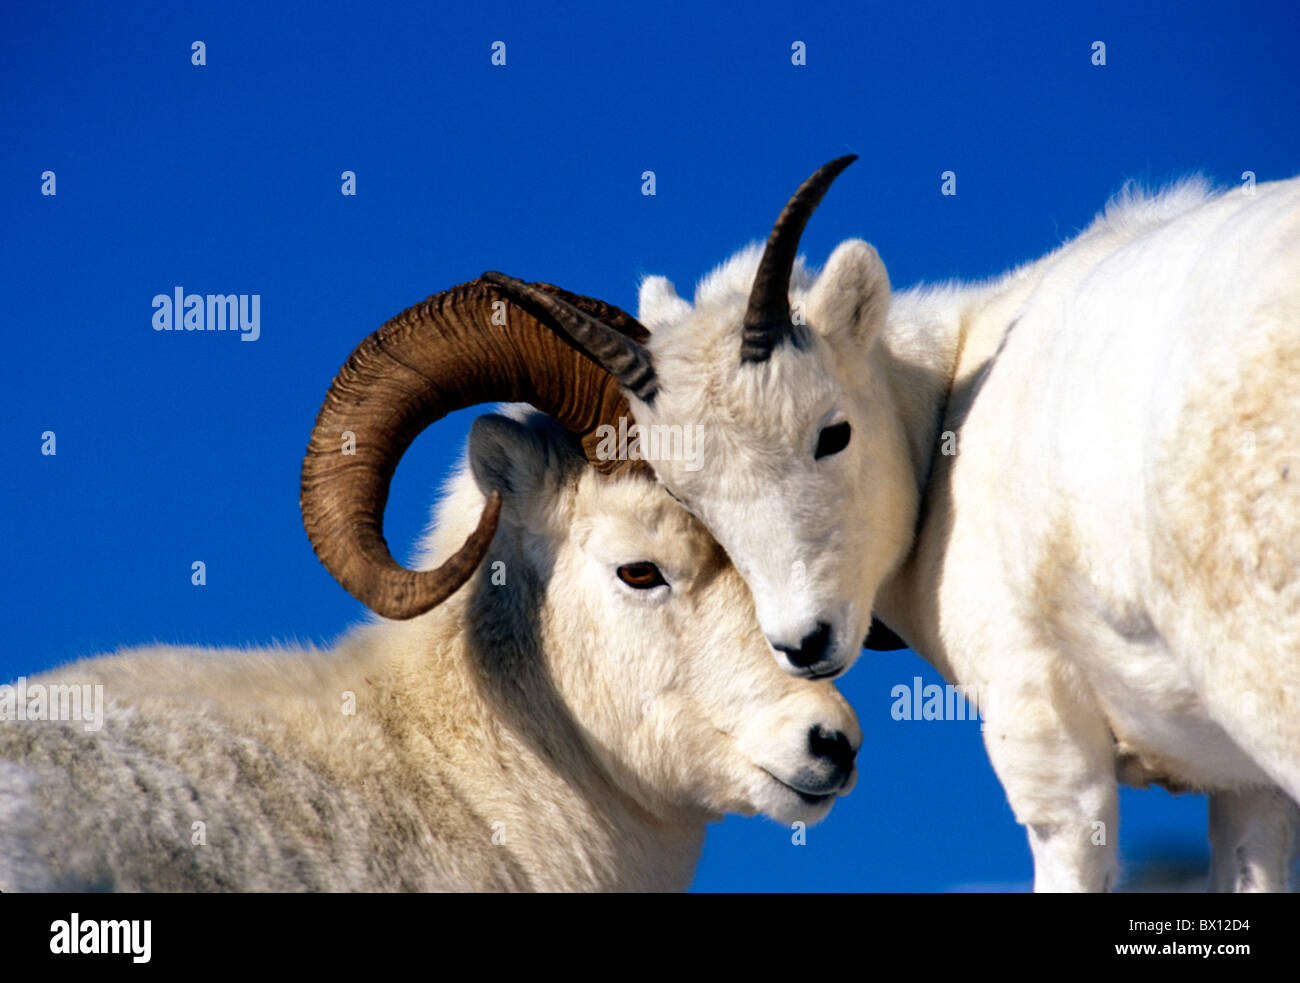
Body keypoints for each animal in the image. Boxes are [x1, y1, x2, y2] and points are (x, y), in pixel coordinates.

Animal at [484, 160, 1300, 891]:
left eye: (833, 432)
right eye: (687, 492)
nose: (805, 644)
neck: (954, 406)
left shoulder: (1047, 742)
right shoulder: (1242, 788)